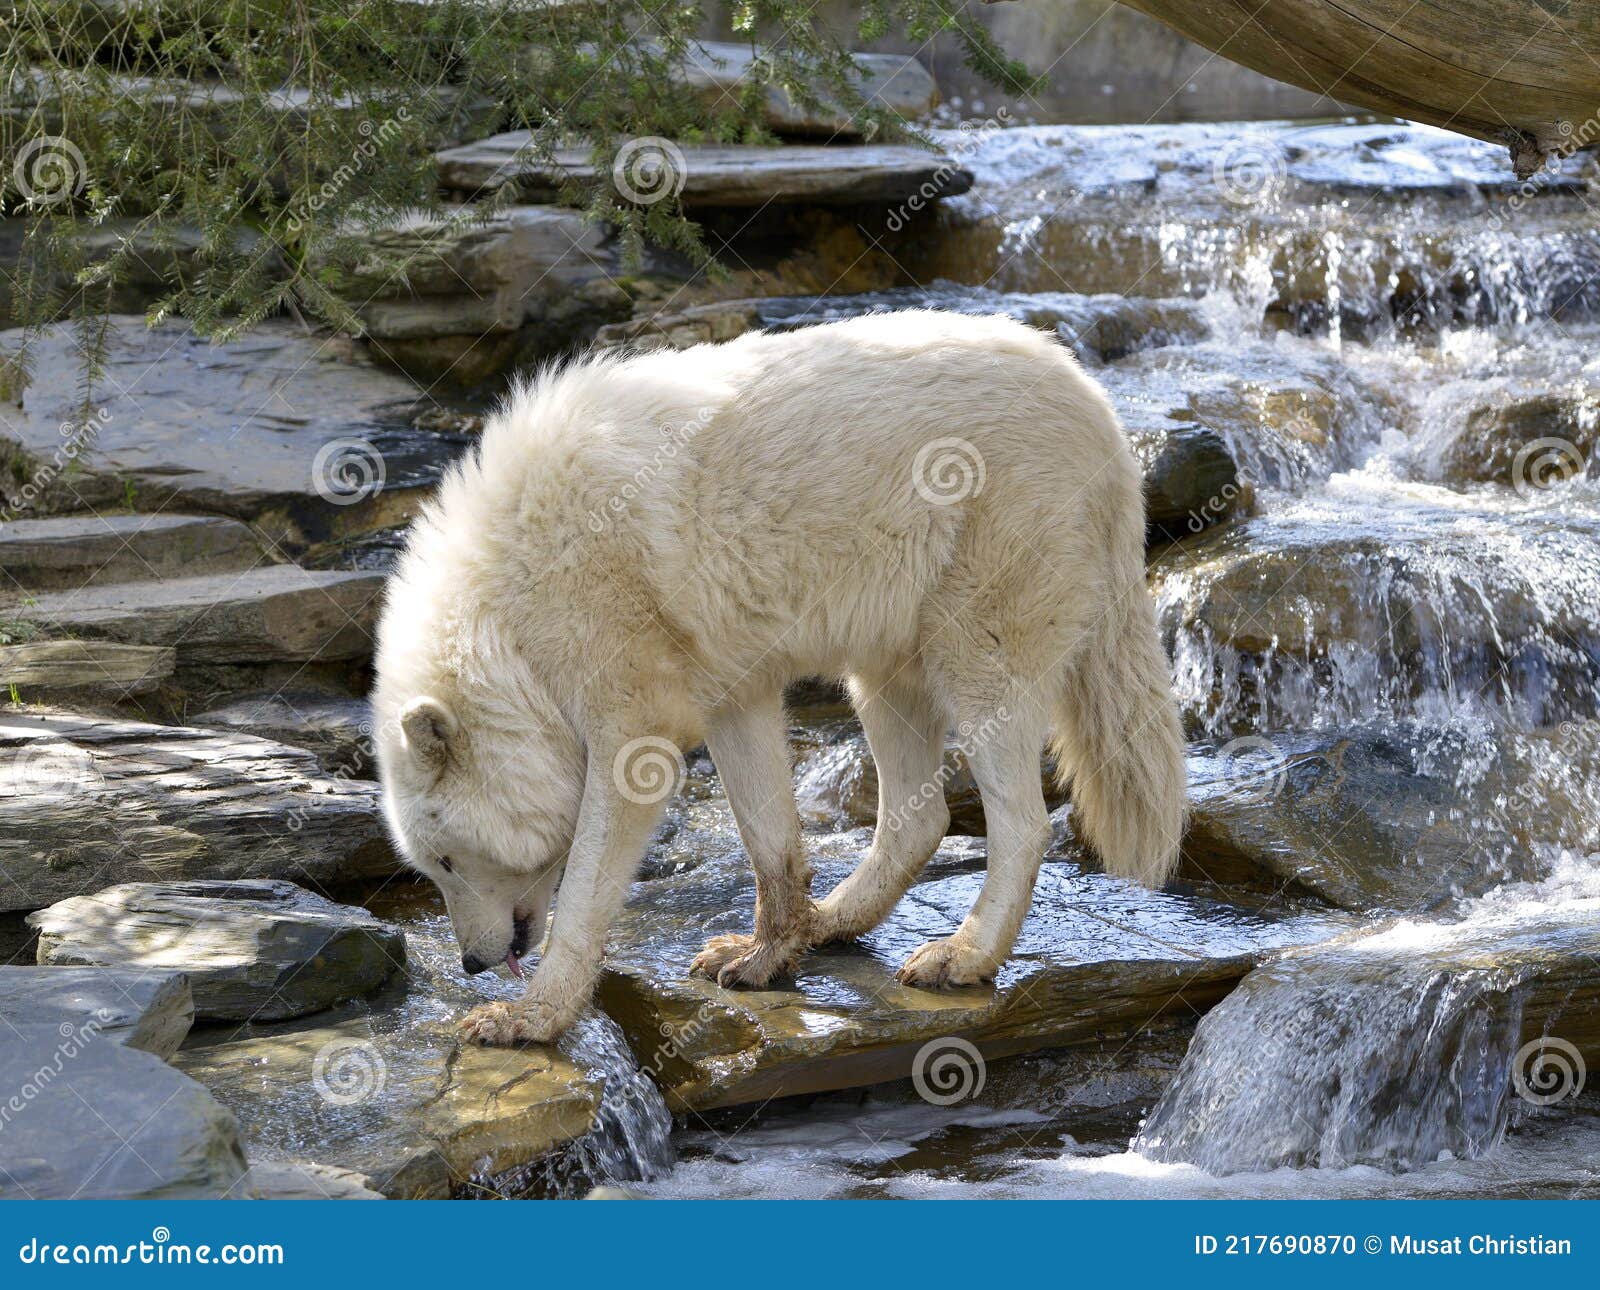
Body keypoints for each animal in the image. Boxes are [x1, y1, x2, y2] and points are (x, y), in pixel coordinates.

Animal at [372, 310, 1186, 1046]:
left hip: (976, 661)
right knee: (920, 819)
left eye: (445, 861)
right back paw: (833, 922)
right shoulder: (734, 695)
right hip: (882, 671)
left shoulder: (636, 731)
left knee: (1021, 823)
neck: (509, 614)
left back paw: (963, 956)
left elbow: (579, 903)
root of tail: (1102, 413)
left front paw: (532, 1016)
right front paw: (768, 953)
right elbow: (772, 847)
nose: (472, 965)